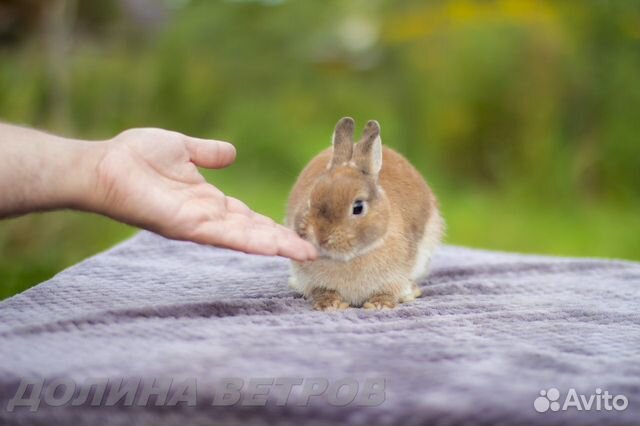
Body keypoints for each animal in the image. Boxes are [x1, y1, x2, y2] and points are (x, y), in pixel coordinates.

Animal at [285, 117, 444, 310]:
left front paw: (379, 304)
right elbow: (321, 290)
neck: (349, 258)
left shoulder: (395, 278)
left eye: (358, 207)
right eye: (310, 200)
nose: (320, 238)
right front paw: (328, 304)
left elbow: (389, 291)